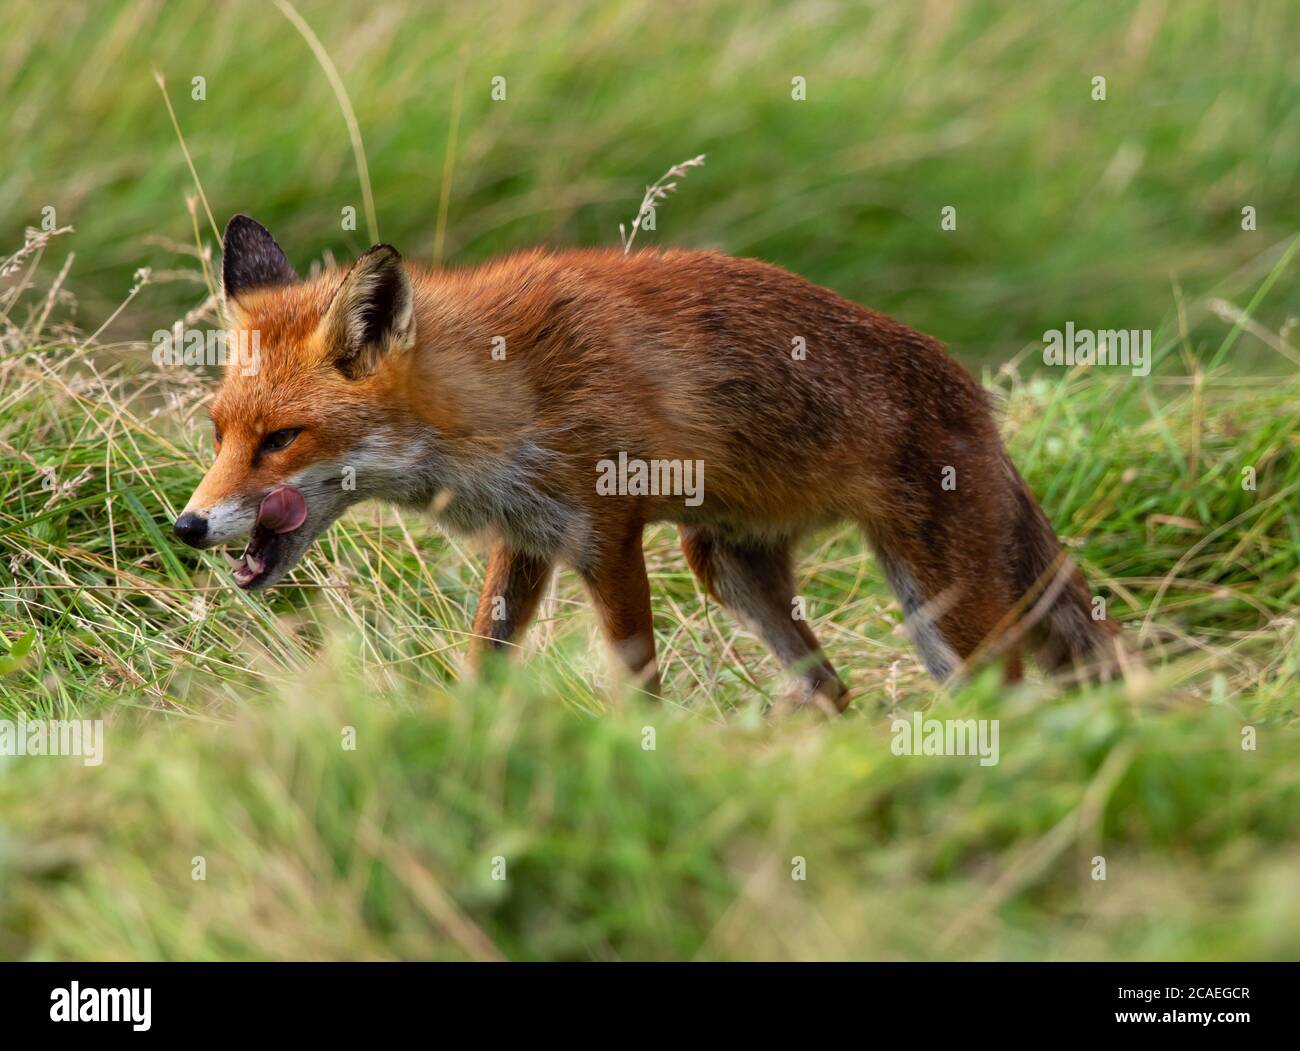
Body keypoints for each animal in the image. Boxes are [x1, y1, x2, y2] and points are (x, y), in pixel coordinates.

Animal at [174, 214, 1119, 713]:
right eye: (219, 433)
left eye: (280, 439)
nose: (187, 525)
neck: (510, 391)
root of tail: (975, 394)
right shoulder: (526, 541)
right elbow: (485, 658)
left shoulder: (609, 533)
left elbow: (638, 680)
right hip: (729, 571)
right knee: (836, 692)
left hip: (942, 609)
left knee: (1012, 691)